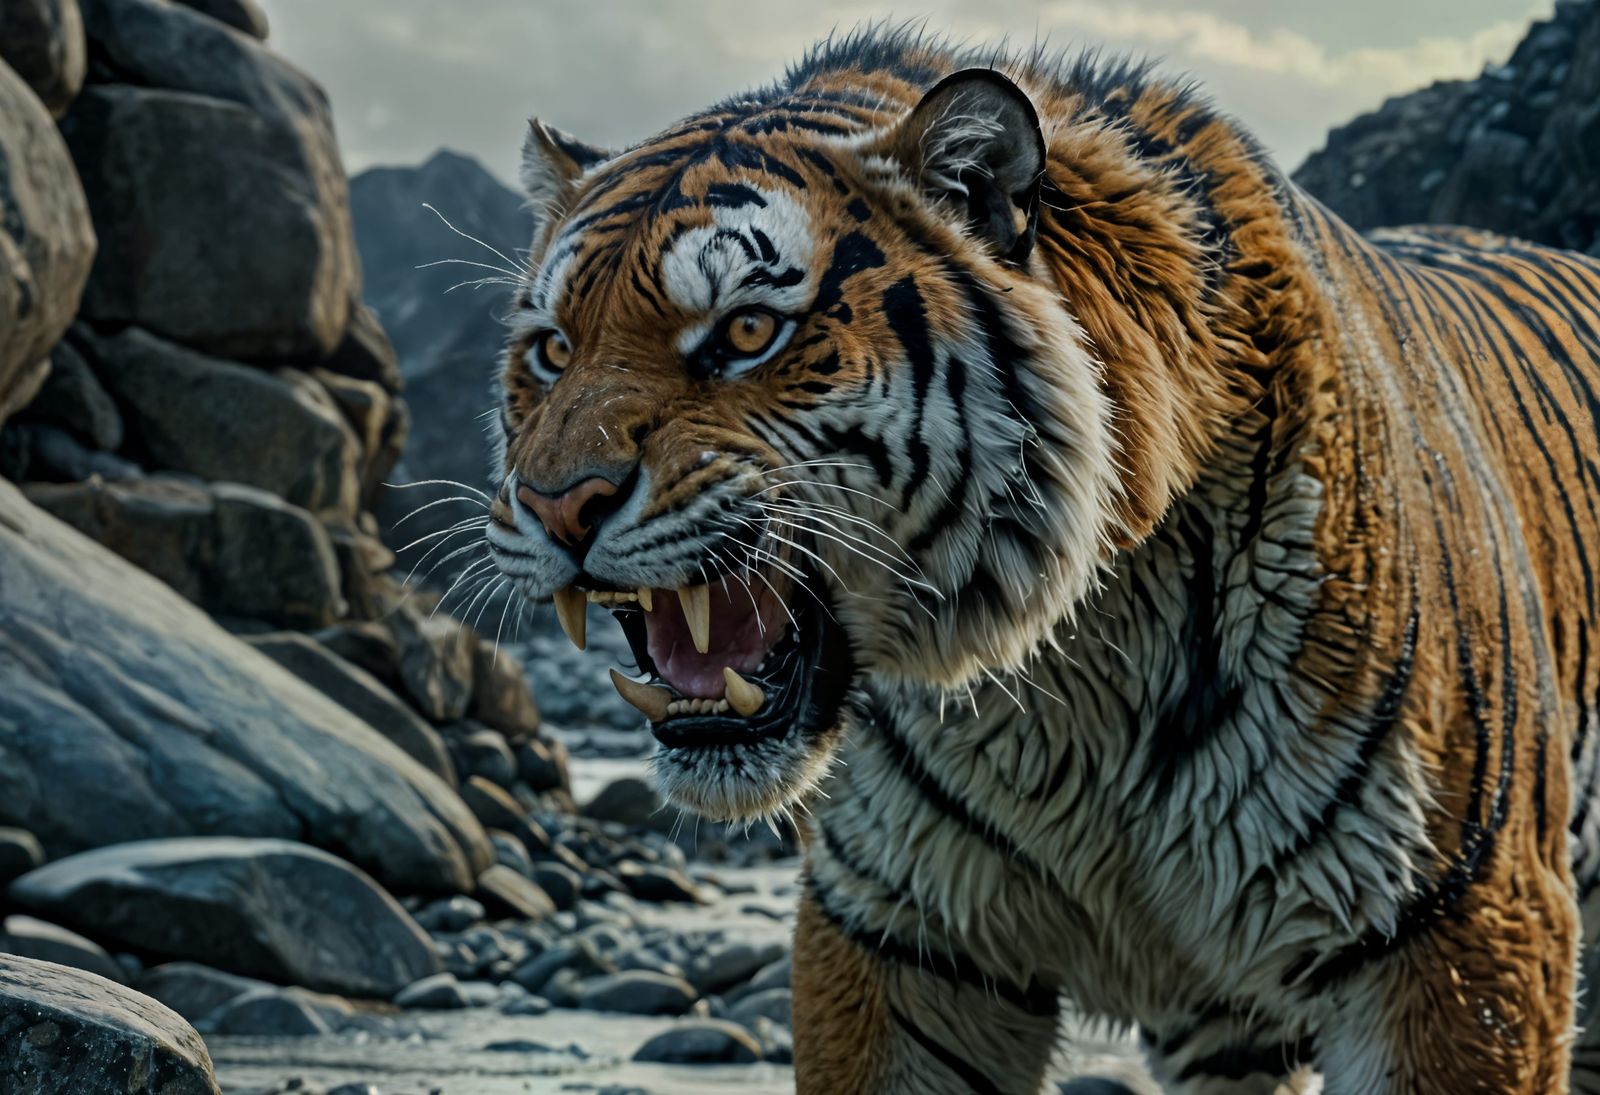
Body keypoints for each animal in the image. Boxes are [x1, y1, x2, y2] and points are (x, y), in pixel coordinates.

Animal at [482, 26, 1600, 1095]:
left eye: (748, 330)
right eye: (552, 349)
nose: (555, 504)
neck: (1062, 674)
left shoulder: (1457, 927)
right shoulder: (903, 941)